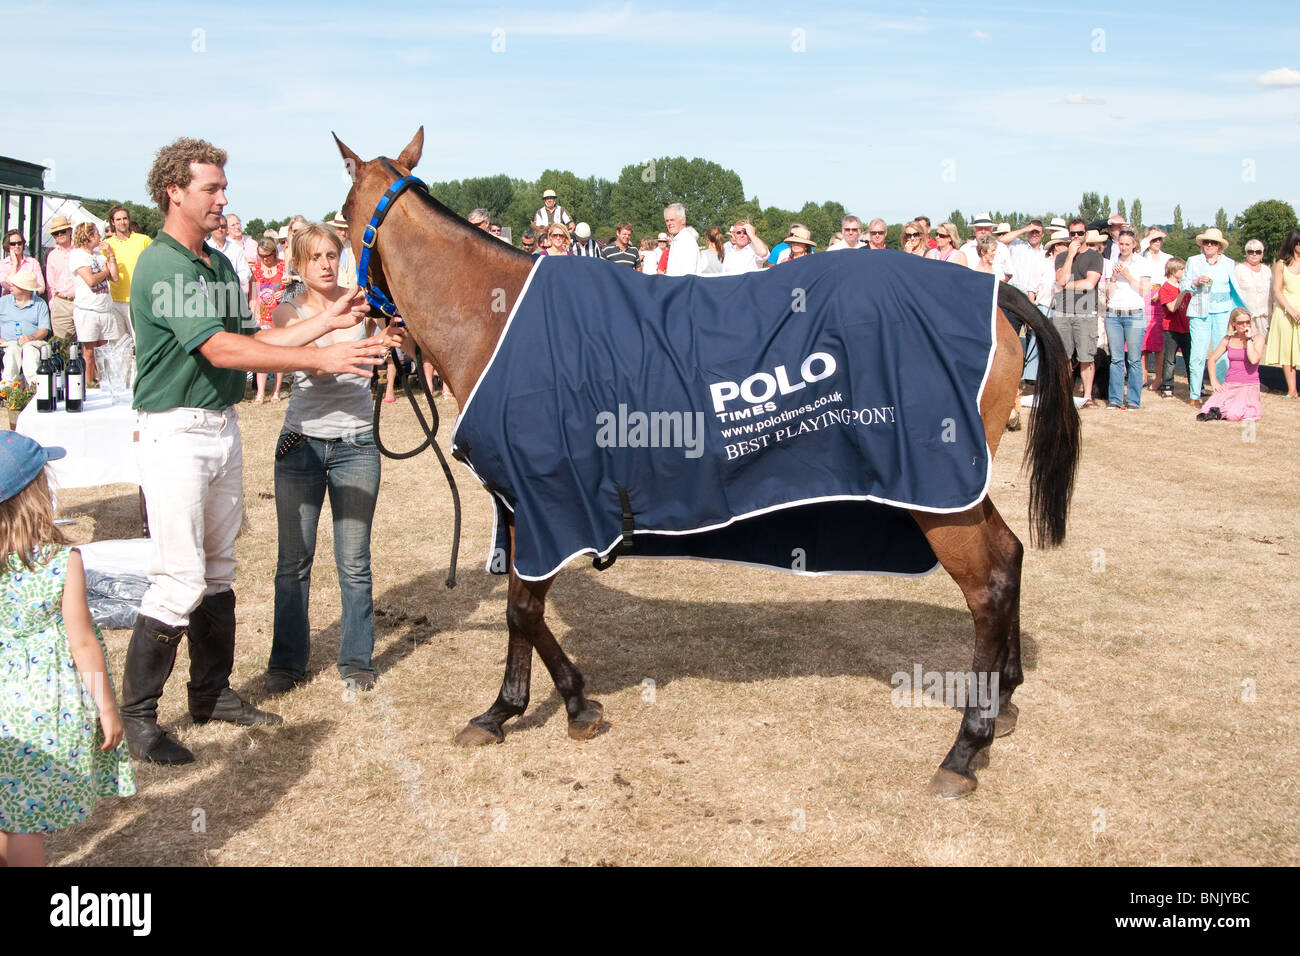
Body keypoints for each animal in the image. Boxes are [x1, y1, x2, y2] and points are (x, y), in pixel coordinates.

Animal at [334, 128, 1081, 797]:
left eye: (340, 216)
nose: (348, 305)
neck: (498, 321)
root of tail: (997, 293)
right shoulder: (529, 508)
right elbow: (528, 610)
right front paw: (544, 706)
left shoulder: (545, 501)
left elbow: (523, 608)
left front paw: (530, 708)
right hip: (961, 488)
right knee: (1010, 557)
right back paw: (1004, 701)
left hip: (939, 496)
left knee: (989, 583)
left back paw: (965, 748)